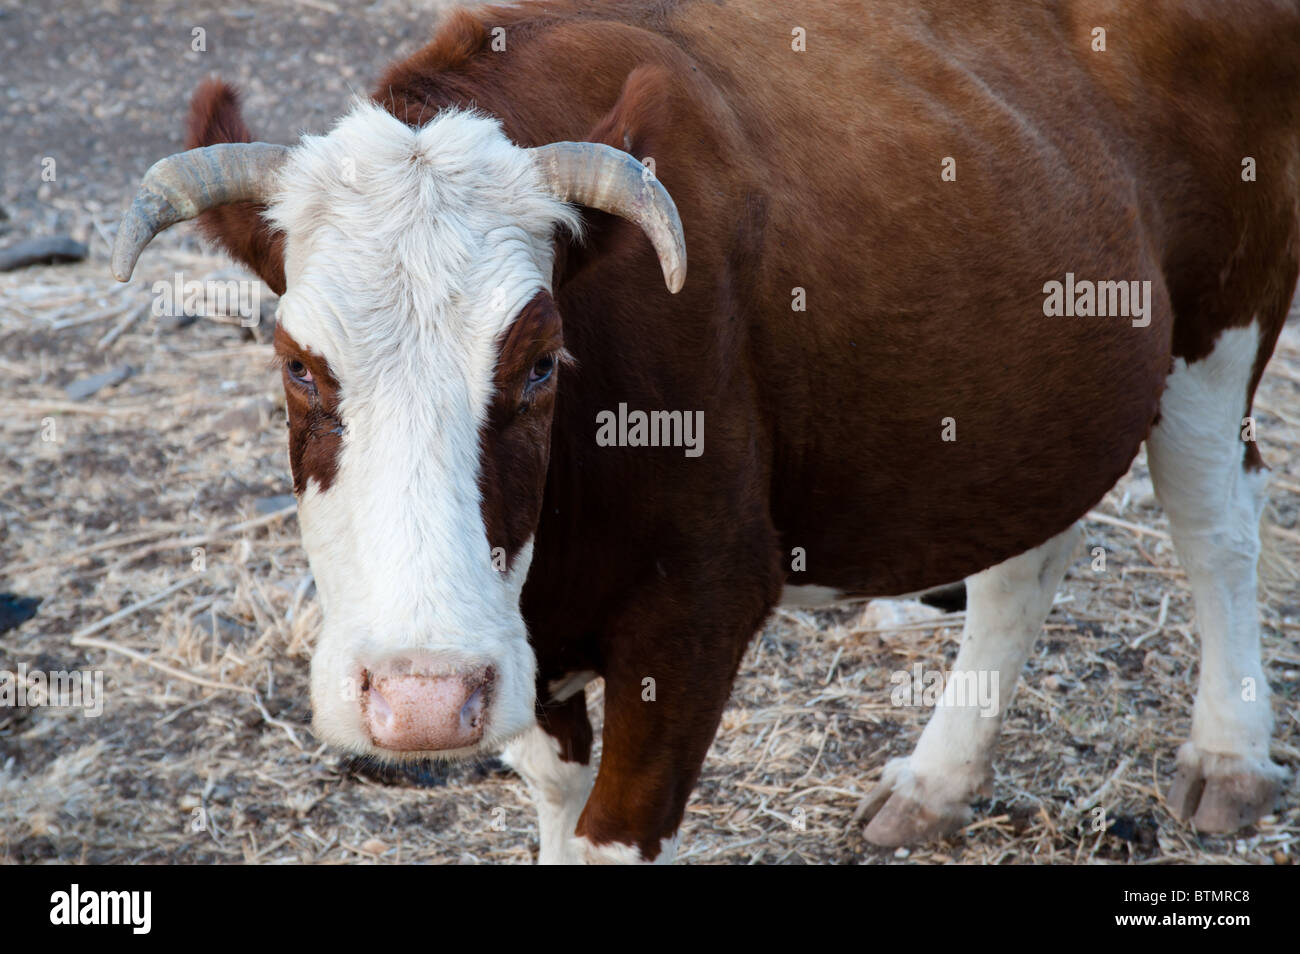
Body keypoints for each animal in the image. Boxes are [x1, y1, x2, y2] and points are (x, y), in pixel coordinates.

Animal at [111, 0, 1298, 863]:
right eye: (296, 364)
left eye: (538, 362)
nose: (420, 700)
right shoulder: (528, 648)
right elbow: (556, 797)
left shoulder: (698, 608)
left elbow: (609, 833)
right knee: (1026, 552)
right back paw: (935, 786)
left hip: (1224, 323)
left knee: (1217, 515)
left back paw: (1230, 762)